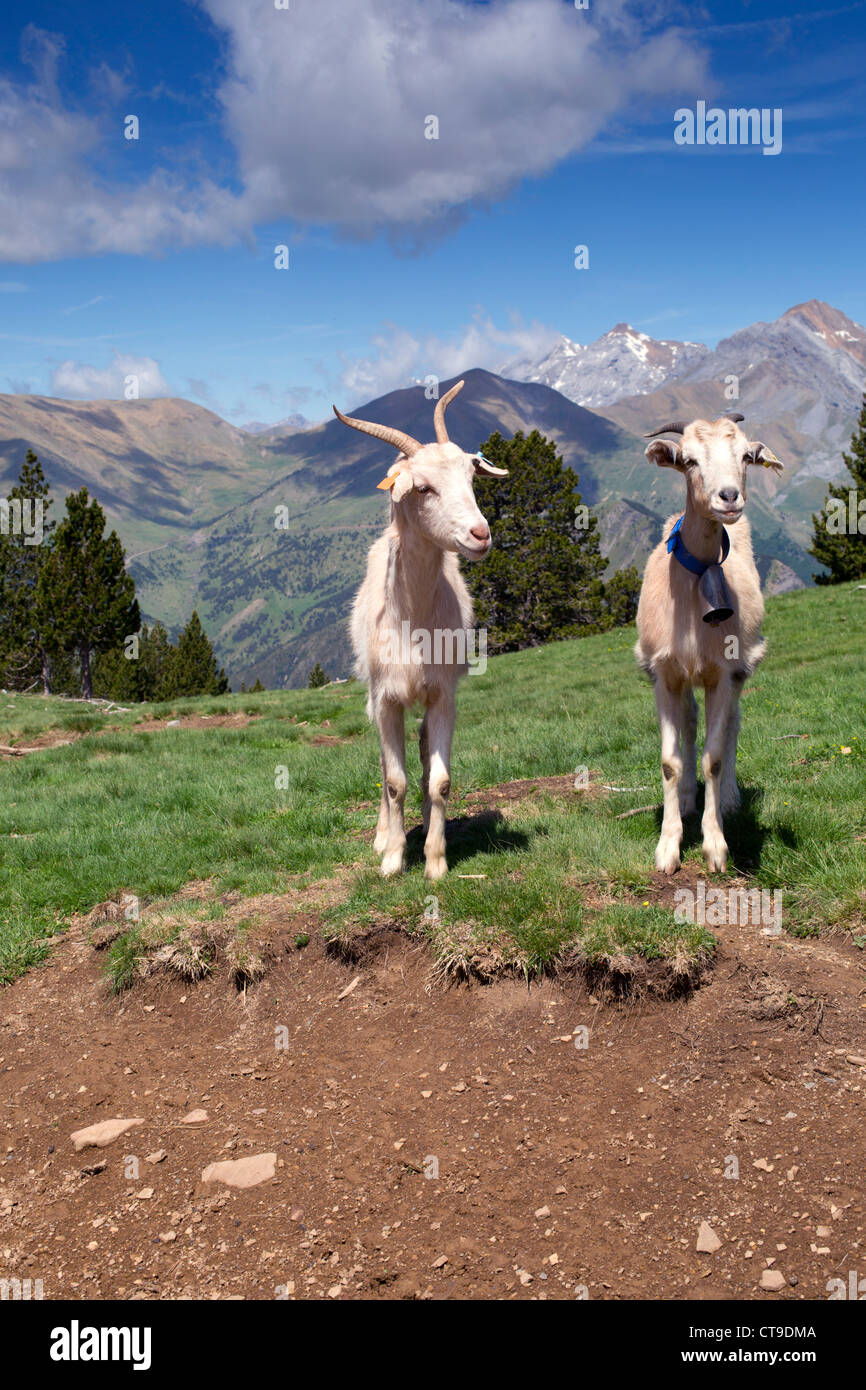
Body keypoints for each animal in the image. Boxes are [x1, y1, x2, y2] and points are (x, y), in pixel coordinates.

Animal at [334, 380, 506, 879]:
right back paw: (382, 834)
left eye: (471, 479)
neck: (411, 623)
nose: (480, 534)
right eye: (424, 487)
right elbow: (394, 780)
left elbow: (440, 780)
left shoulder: (443, 693)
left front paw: (435, 860)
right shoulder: (386, 698)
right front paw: (392, 857)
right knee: (385, 762)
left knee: (426, 754)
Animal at [634, 413, 782, 875]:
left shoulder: (724, 672)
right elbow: (670, 760)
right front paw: (668, 846)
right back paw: (685, 800)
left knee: (732, 724)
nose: (729, 497)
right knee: (688, 722)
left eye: (746, 457)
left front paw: (715, 846)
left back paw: (730, 800)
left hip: (740, 668)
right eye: (689, 460)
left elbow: (713, 758)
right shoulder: (663, 673)